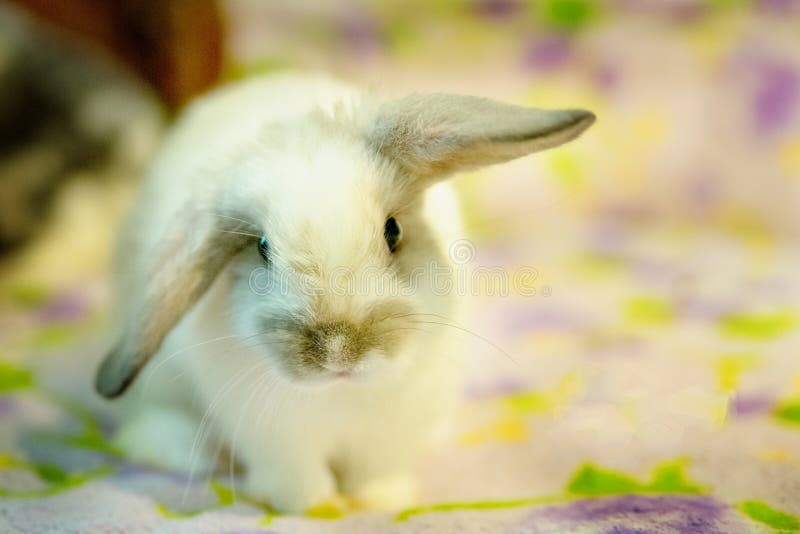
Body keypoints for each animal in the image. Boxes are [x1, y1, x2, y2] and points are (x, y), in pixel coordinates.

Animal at [94, 73, 594, 513]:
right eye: (262, 248)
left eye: (392, 231)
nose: (338, 352)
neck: (341, 395)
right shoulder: (276, 440)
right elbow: (297, 477)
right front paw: (312, 506)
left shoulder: (390, 434)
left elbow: (377, 472)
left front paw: (381, 502)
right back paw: (181, 453)